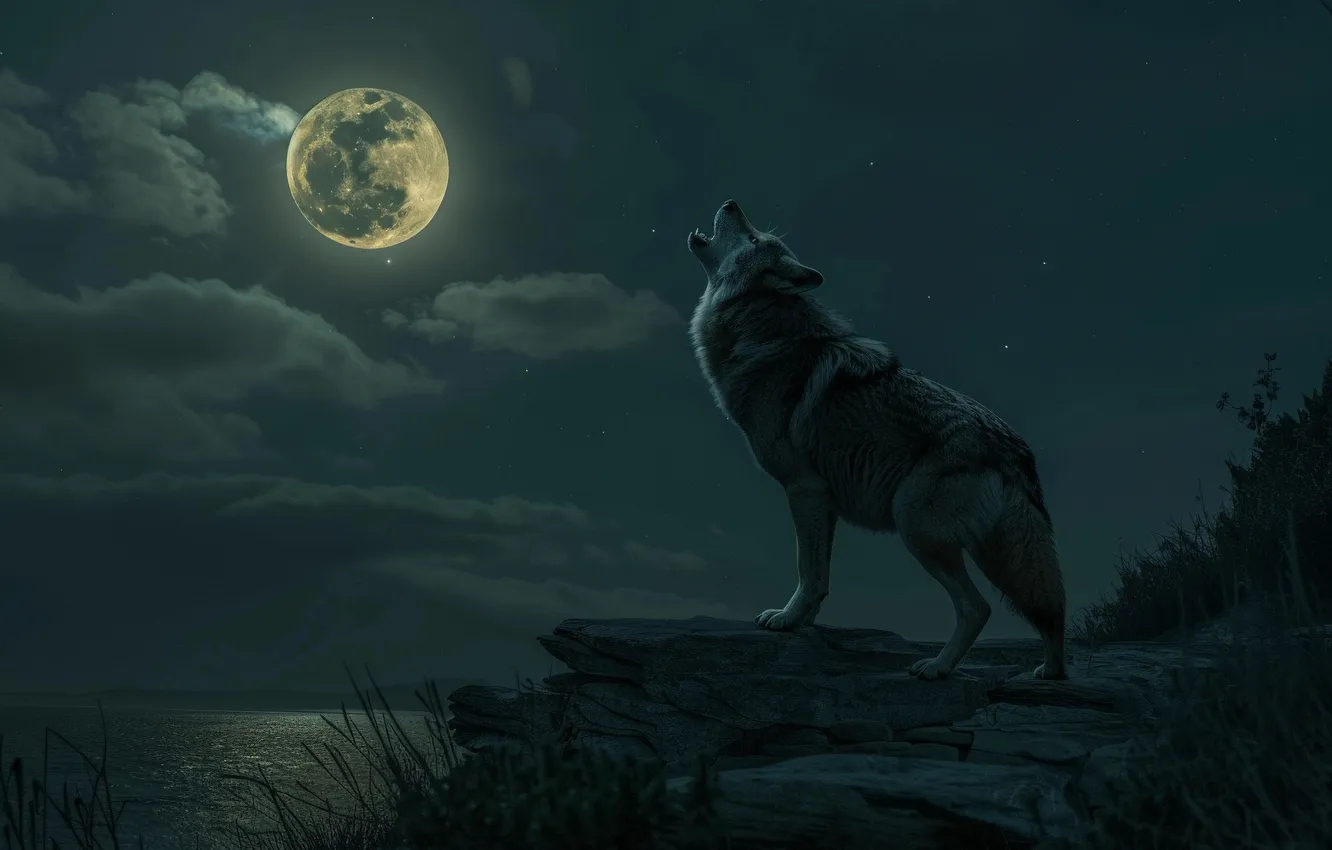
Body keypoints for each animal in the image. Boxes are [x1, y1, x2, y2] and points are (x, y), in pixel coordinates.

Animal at [686, 199, 1067, 680]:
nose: (731, 202)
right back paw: (1050, 673)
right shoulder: (824, 501)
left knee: (977, 608)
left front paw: (786, 620)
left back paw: (937, 667)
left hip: (917, 528)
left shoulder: (803, 490)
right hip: (996, 553)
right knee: (1050, 608)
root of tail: (1016, 448)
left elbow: (806, 569)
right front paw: (805, 622)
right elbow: (821, 577)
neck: (758, 326)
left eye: (754, 237)